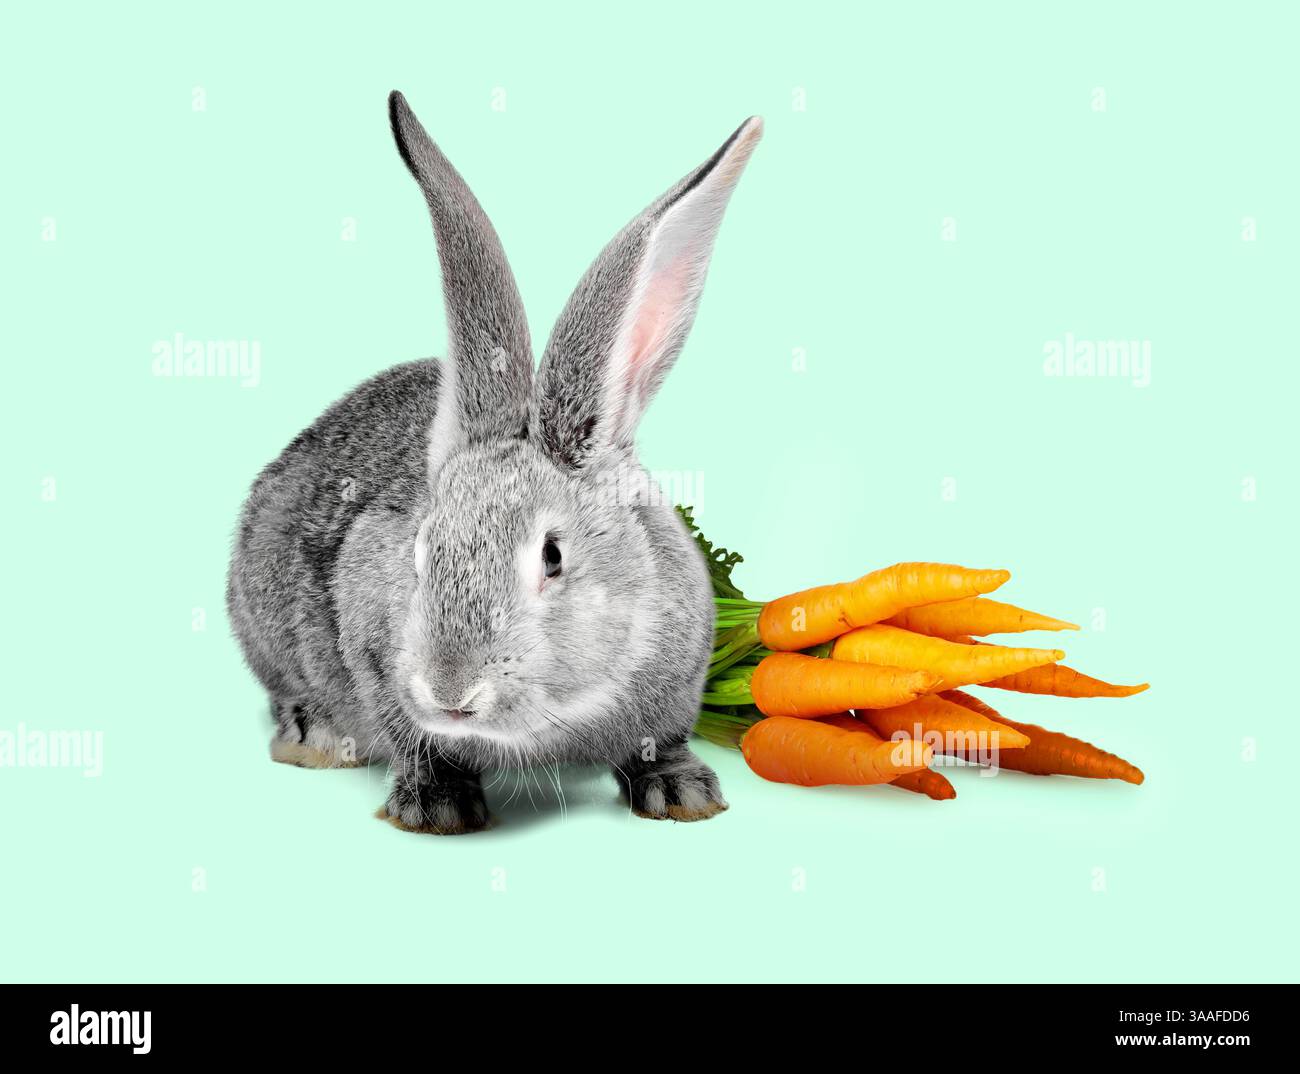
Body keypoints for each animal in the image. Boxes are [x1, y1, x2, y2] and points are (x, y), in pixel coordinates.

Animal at [226, 92, 763, 834]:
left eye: (552, 557)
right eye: (421, 553)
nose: (451, 691)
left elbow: (660, 740)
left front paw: (684, 794)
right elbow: (415, 745)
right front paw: (436, 808)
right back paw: (314, 738)